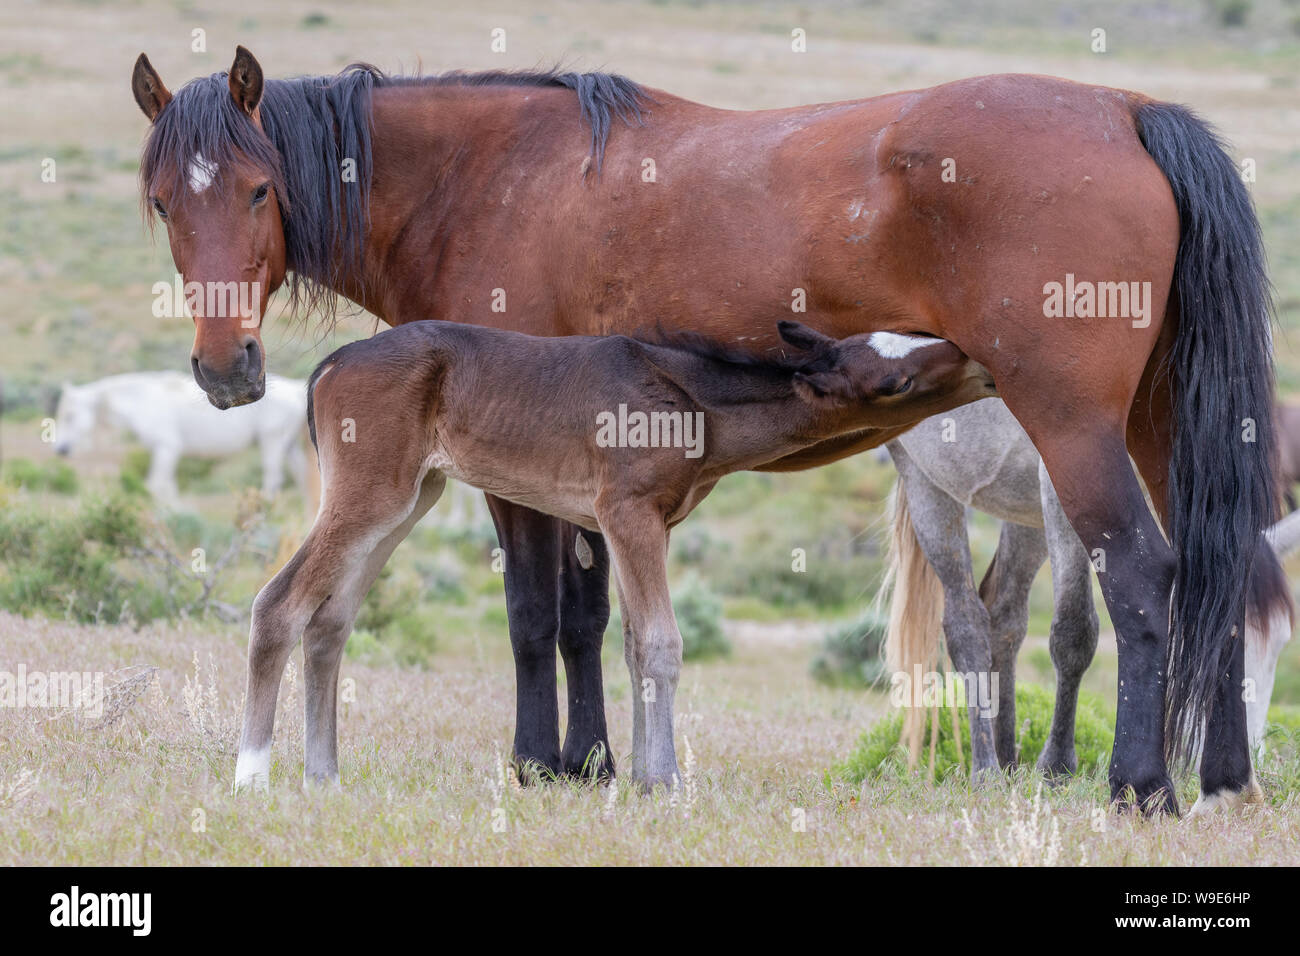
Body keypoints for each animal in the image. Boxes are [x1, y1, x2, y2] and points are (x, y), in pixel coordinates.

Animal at [54, 371, 309, 505]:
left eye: (70, 415)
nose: (60, 450)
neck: (142, 401)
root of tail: (296, 388)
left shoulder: (167, 449)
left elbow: (157, 486)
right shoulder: (166, 454)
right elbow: (168, 487)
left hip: (272, 441)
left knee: (273, 479)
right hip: (289, 445)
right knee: (301, 477)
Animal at [234, 319, 993, 789]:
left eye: (917, 339)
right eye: (896, 383)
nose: (979, 361)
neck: (695, 402)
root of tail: (329, 364)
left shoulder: (640, 524)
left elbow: (631, 644)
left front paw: (641, 776)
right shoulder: (628, 513)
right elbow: (660, 643)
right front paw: (668, 782)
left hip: (409, 498)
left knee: (331, 619)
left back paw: (324, 777)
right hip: (371, 494)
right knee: (278, 603)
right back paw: (253, 775)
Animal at [882, 400, 1294, 793]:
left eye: (1281, 644)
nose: (1252, 758)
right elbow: (1075, 634)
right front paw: (1056, 768)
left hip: (1025, 509)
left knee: (1005, 614)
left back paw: (1008, 762)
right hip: (927, 482)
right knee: (966, 625)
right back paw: (986, 772)